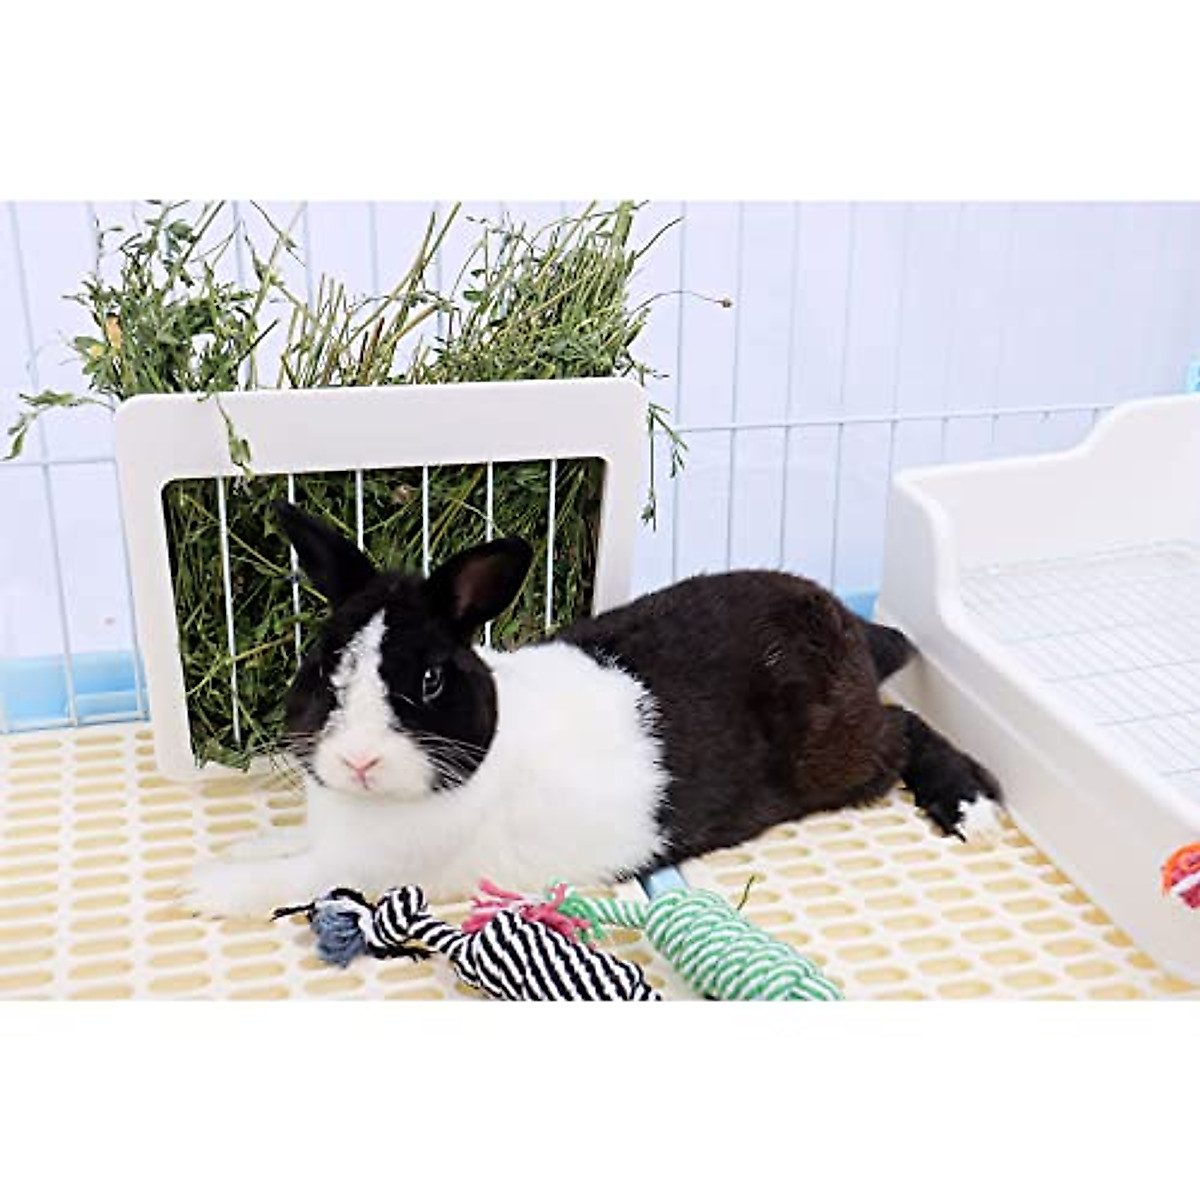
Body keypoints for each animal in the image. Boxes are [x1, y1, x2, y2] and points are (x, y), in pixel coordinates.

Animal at [182, 501, 1004, 919]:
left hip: (844, 752)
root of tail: (847, 625)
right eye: (324, 664)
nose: (358, 759)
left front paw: (208, 889)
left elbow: (300, 878)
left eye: (430, 681)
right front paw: (240, 850)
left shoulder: (368, 869)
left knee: (907, 730)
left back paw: (968, 804)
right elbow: (286, 847)